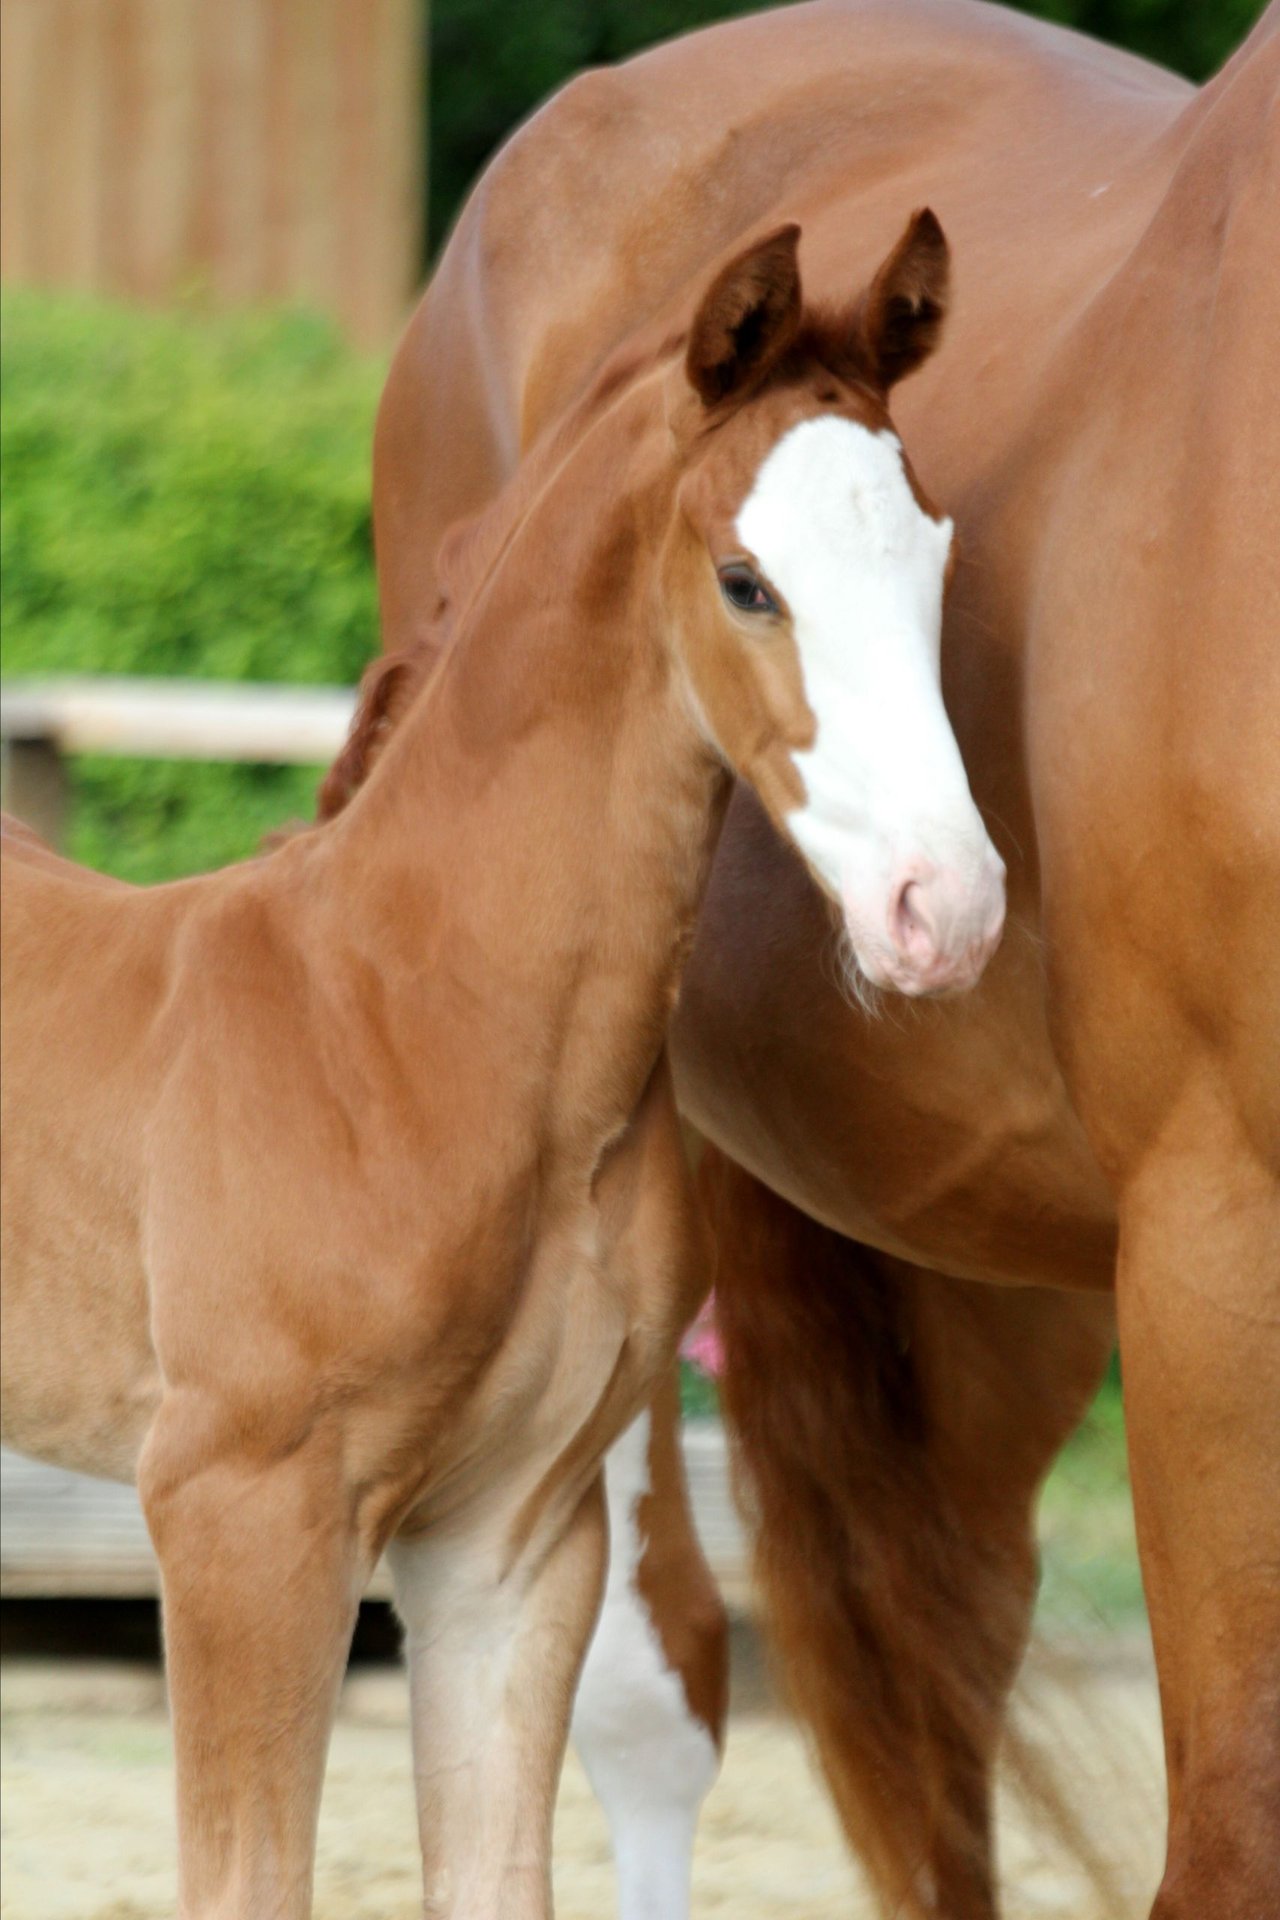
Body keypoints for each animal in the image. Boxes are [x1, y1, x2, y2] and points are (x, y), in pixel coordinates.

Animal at [0, 211, 1003, 1917]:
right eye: (747, 581)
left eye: (932, 559)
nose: (946, 907)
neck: (418, 1026)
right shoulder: (240, 1516)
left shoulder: (512, 1545)